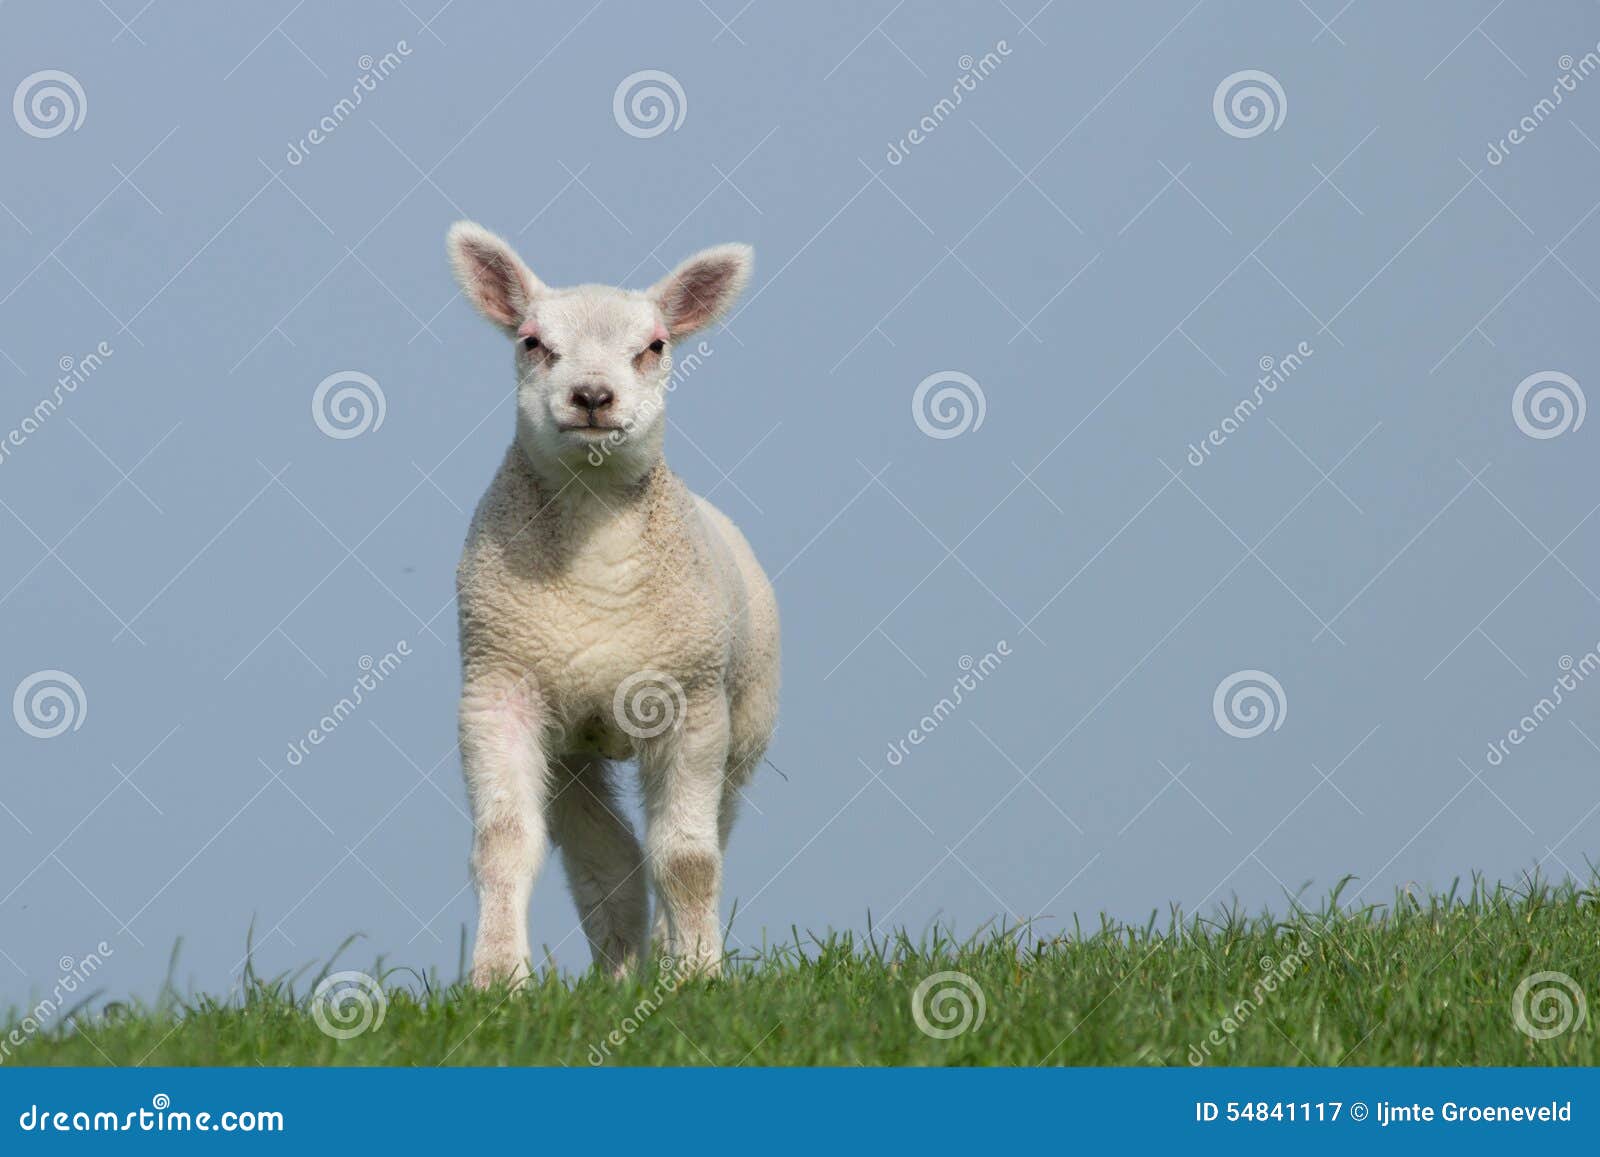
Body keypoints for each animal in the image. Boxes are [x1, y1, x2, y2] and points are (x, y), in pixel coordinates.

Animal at [446, 221, 780, 987]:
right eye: (532, 341)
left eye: (653, 345)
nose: (592, 396)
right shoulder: (498, 689)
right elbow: (505, 842)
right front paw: (496, 978)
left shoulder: (691, 702)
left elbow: (687, 859)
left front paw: (698, 977)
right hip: (572, 744)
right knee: (607, 861)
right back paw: (620, 972)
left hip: (744, 722)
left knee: (701, 836)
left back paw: (668, 956)